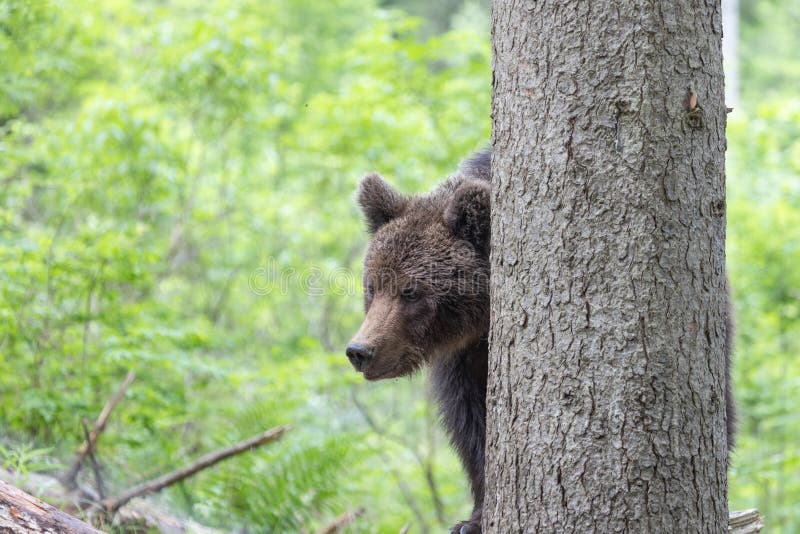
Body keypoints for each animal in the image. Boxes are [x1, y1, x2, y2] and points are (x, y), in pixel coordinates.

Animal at [346, 149, 735, 534]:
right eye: (372, 286)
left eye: (411, 291)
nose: (360, 351)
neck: (483, 322)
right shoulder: (460, 360)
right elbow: (470, 426)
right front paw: (473, 518)